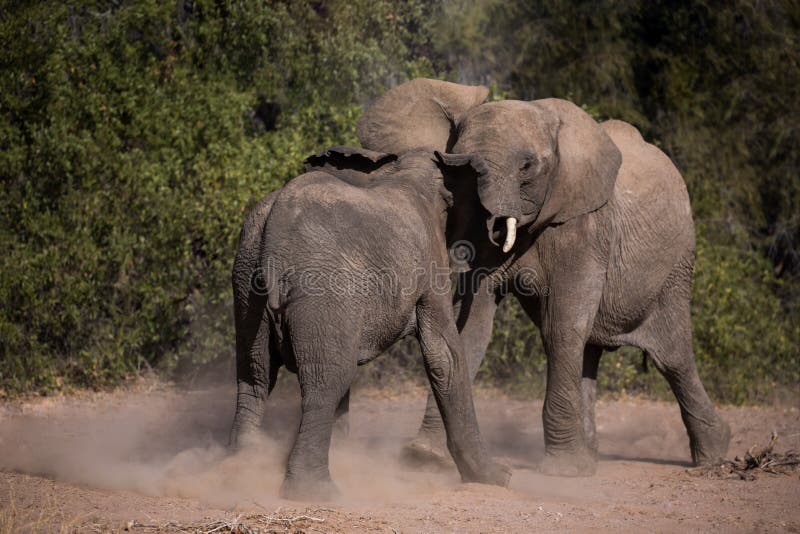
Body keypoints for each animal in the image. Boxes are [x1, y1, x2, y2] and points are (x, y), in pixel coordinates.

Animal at [229, 145, 511, 500]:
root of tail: (276, 224)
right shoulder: (430, 264)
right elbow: (445, 357)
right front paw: (499, 478)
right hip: (322, 287)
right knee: (326, 381)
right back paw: (319, 492)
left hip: (247, 283)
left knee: (255, 378)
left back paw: (241, 472)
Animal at [352, 78, 731, 475]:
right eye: (457, 162)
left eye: (527, 166)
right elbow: (470, 328)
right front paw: (424, 458)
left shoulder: (585, 226)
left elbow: (561, 326)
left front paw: (564, 472)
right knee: (589, 351)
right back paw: (592, 456)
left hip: (677, 265)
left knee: (672, 356)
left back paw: (713, 455)